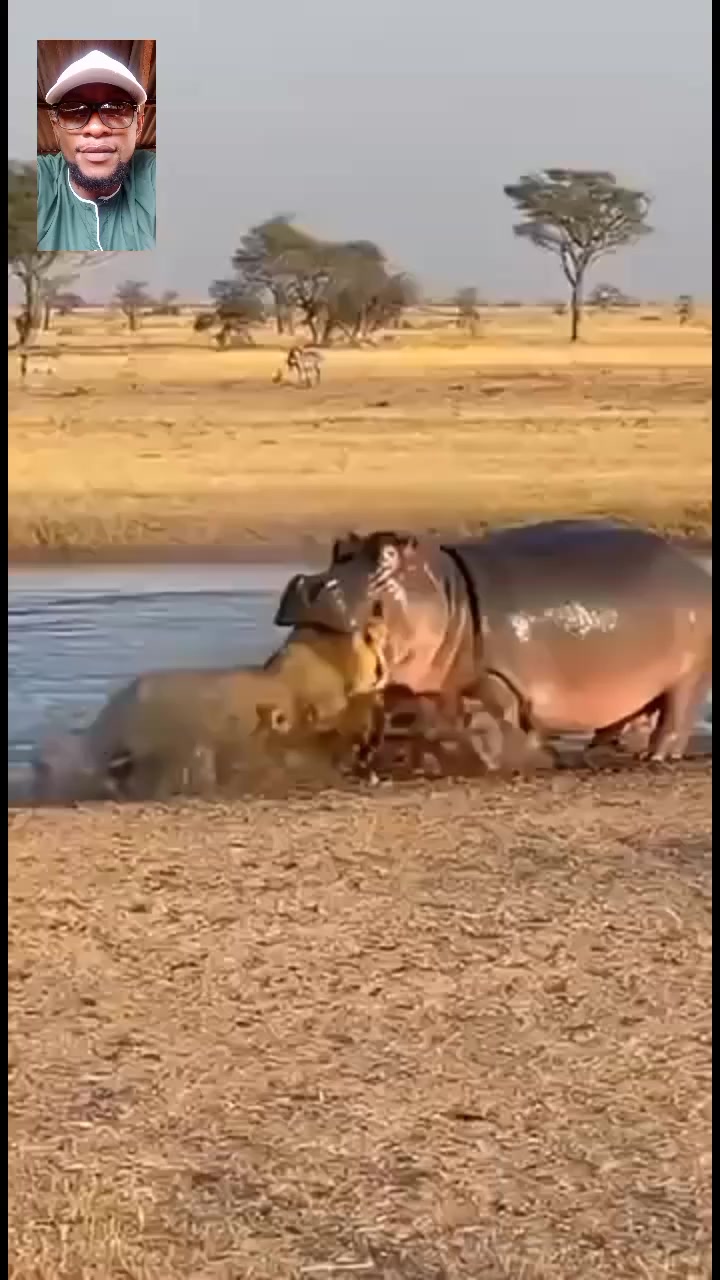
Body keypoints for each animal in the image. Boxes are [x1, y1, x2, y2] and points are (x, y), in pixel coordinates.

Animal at [274, 519, 712, 763]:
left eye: (388, 554)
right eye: (339, 547)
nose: (311, 584)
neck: (447, 589)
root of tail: (694, 569)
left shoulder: (497, 679)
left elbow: (501, 718)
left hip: (689, 672)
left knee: (676, 714)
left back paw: (653, 755)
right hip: (632, 682)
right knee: (625, 715)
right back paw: (600, 749)